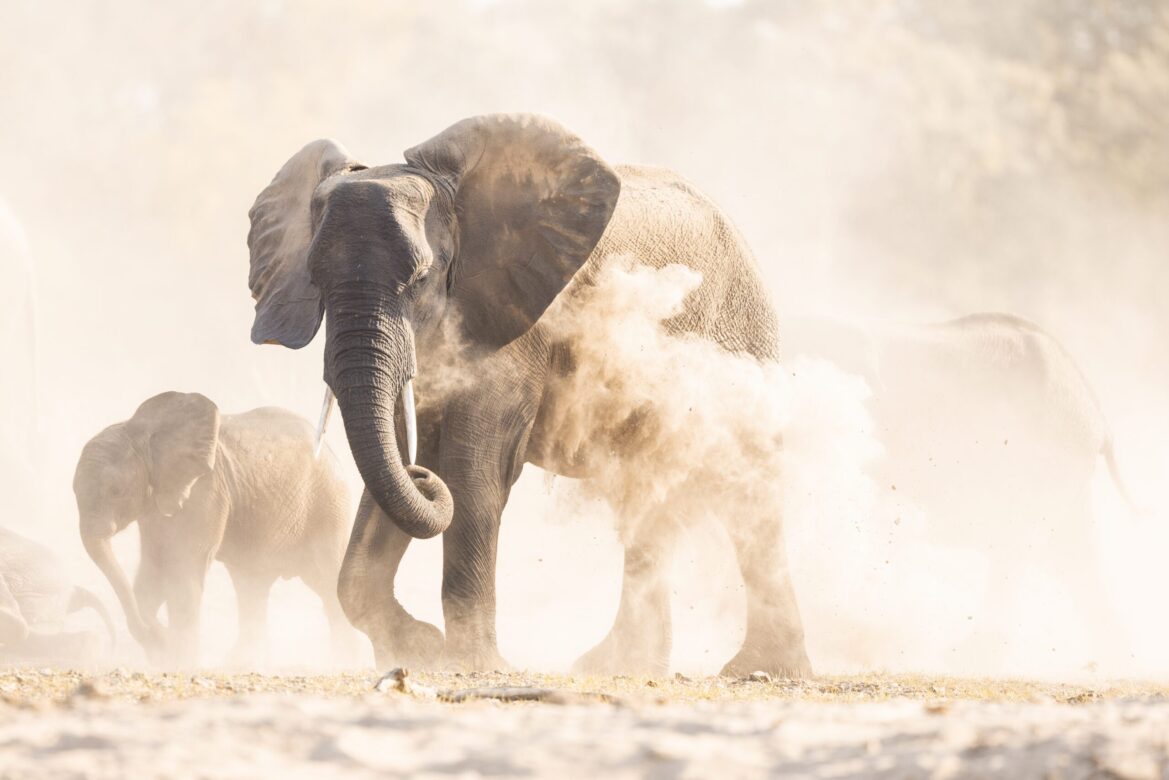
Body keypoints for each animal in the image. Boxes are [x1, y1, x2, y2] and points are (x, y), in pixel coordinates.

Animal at [73, 392, 355, 668]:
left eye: (116, 491)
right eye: (74, 491)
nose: (160, 638)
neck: (139, 431)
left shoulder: (204, 493)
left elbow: (182, 571)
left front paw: (180, 662)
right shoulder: (155, 508)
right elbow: (152, 573)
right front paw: (164, 653)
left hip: (328, 506)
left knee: (327, 581)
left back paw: (344, 662)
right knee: (251, 586)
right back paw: (242, 661)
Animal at [244, 113, 811, 677]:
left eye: (421, 278)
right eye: (315, 278)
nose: (422, 475)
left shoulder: (515, 321)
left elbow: (474, 474)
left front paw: (472, 663)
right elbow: (395, 464)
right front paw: (419, 650)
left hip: (739, 344)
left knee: (745, 495)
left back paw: (762, 668)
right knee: (647, 500)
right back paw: (620, 666)